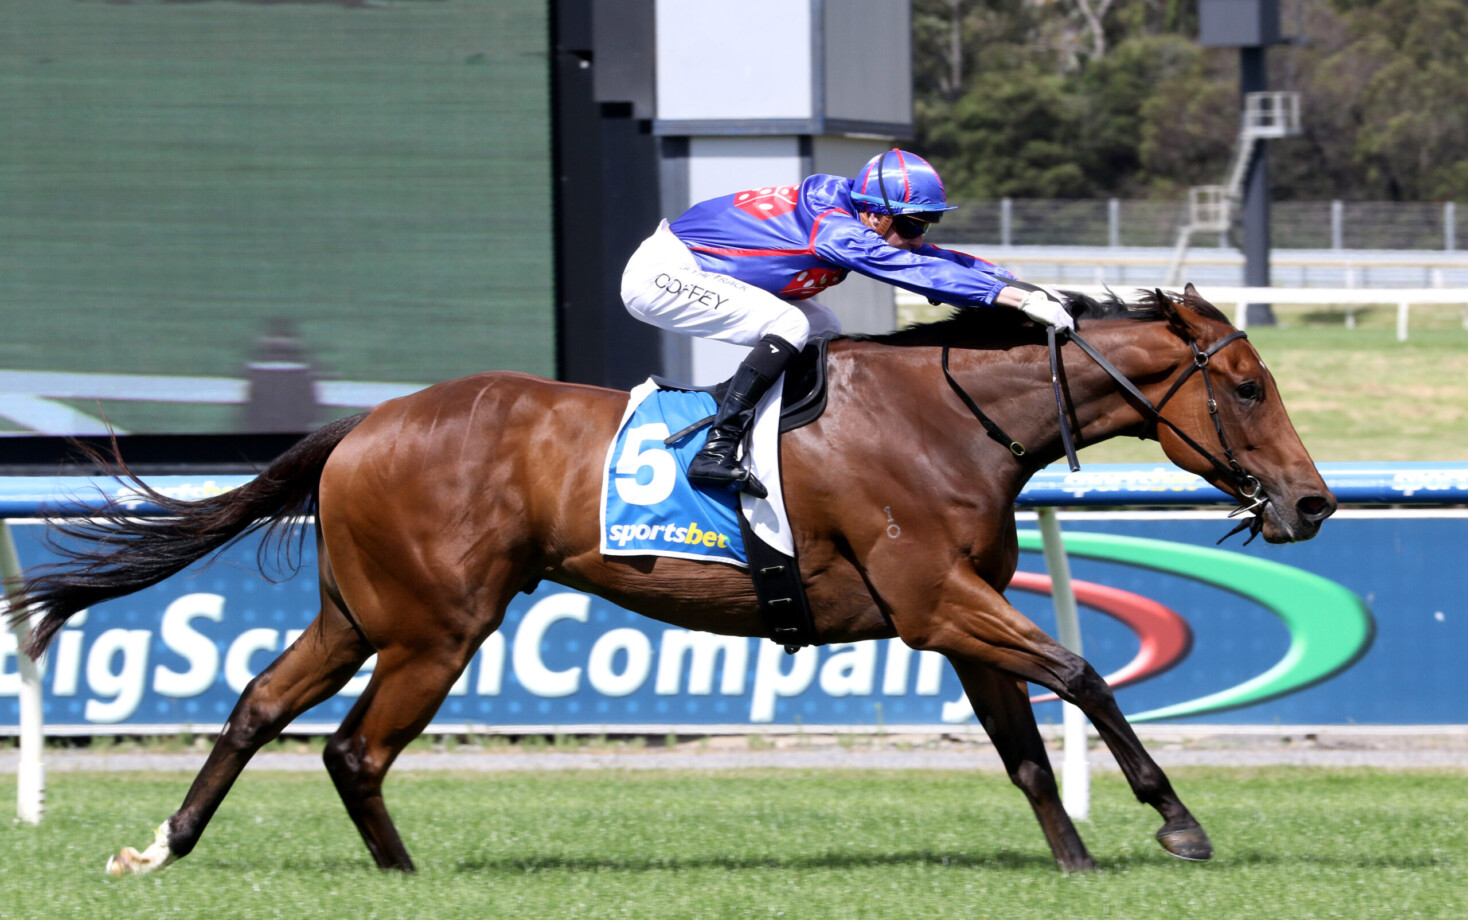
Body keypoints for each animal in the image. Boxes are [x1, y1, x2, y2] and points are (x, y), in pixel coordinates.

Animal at [10, 283, 1335, 876]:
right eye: (1248, 385)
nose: (1312, 500)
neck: (949, 418)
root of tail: (361, 422)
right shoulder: (930, 597)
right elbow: (1080, 669)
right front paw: (1173, 818)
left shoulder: (953, 612)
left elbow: (1023, 743)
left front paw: (1075, 860)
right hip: (438, 624)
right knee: (352, 747)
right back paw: (398, 875)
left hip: (360, 610)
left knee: (260, 707)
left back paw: (168, 843)